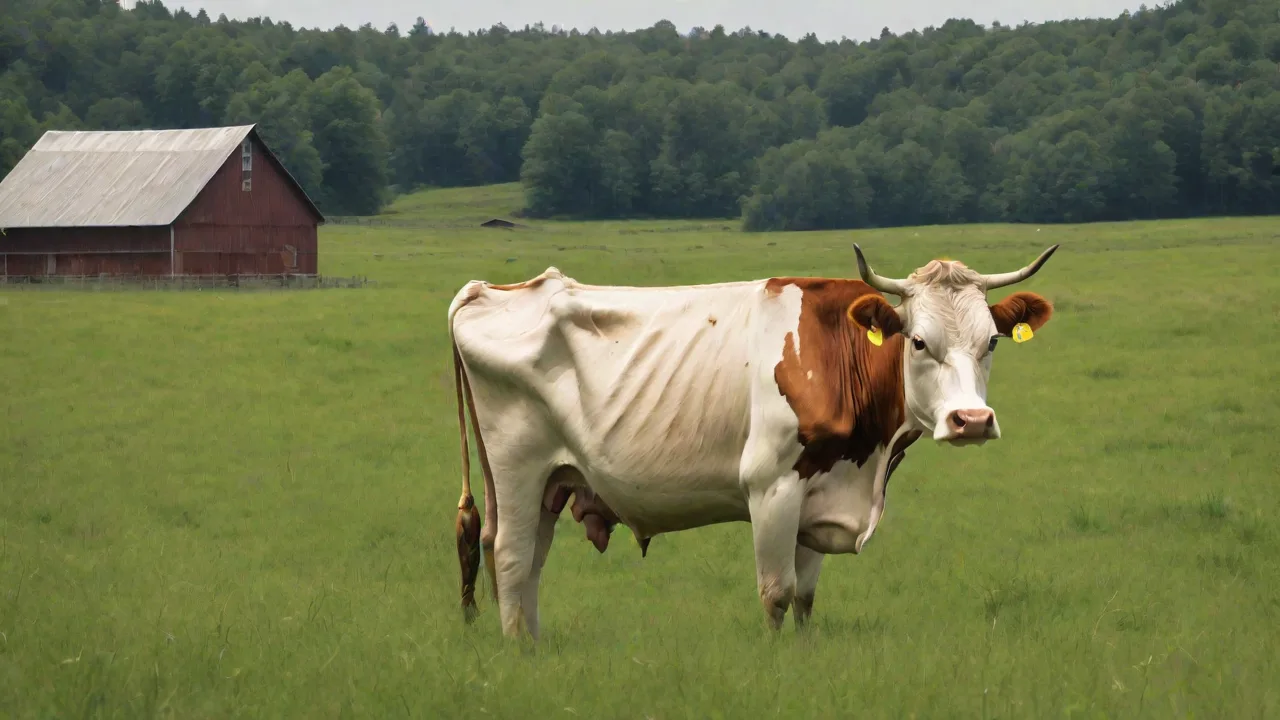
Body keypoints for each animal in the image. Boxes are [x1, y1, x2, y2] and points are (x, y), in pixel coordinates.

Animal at [449, 244, 1058, 640]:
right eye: (918, 342)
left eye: (992, 342)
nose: (971, 420)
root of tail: (490, 290)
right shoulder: (772, 487)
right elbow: (776, 593)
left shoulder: (822, 493)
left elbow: (806, 598)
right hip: (519, 467)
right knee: (510, 556)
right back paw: (518, 651)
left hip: (550, 482)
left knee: (521, 559)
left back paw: (531, 643)